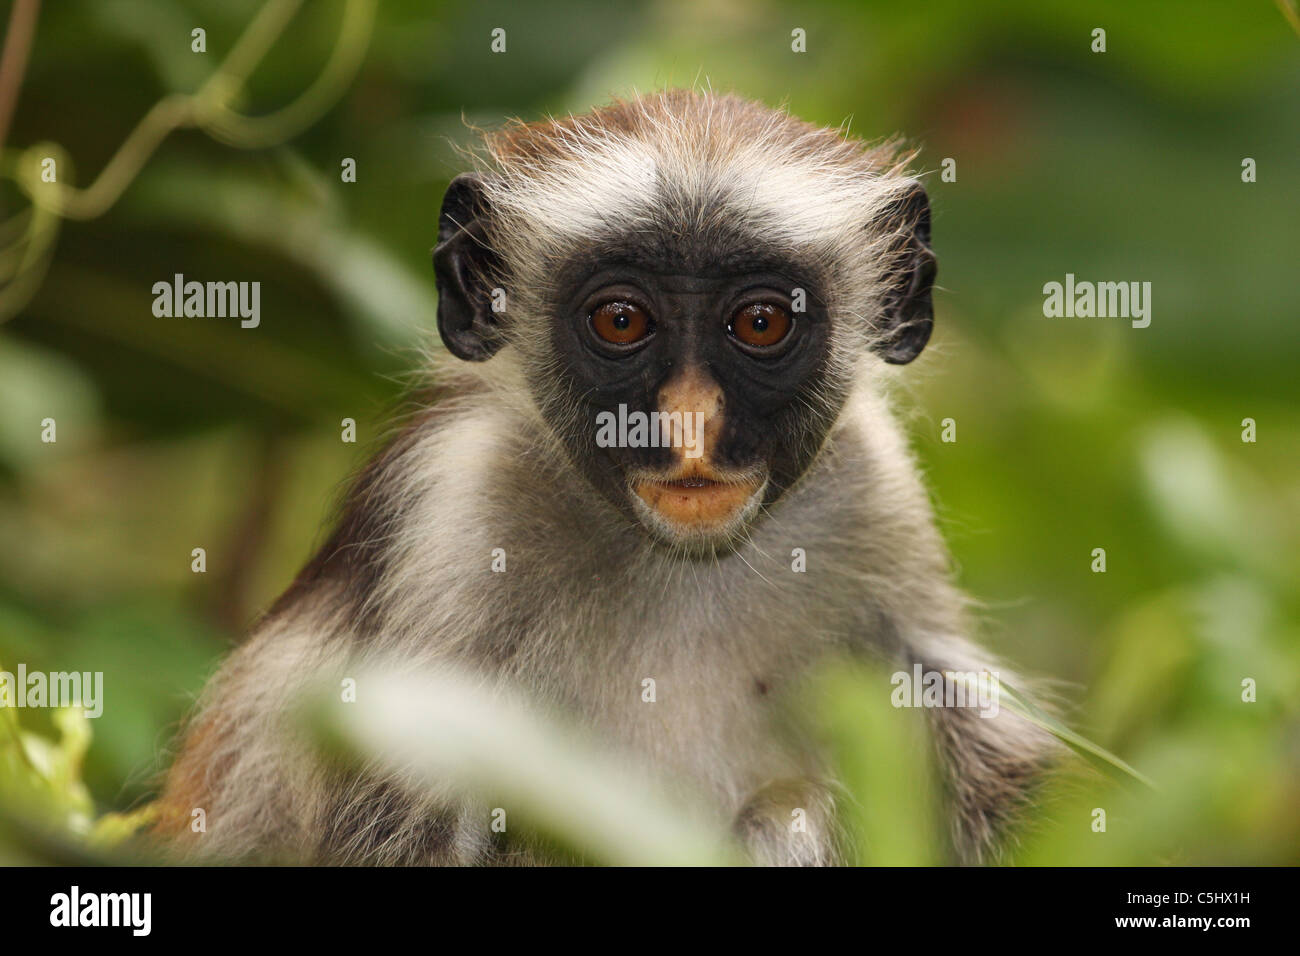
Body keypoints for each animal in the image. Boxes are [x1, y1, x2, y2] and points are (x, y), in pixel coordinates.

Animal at [157, 89, 1055, 866]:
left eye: (762, 322)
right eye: (620, 320)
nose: (690, 429)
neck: (683, 564)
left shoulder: (874, 485)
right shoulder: (452, 508)